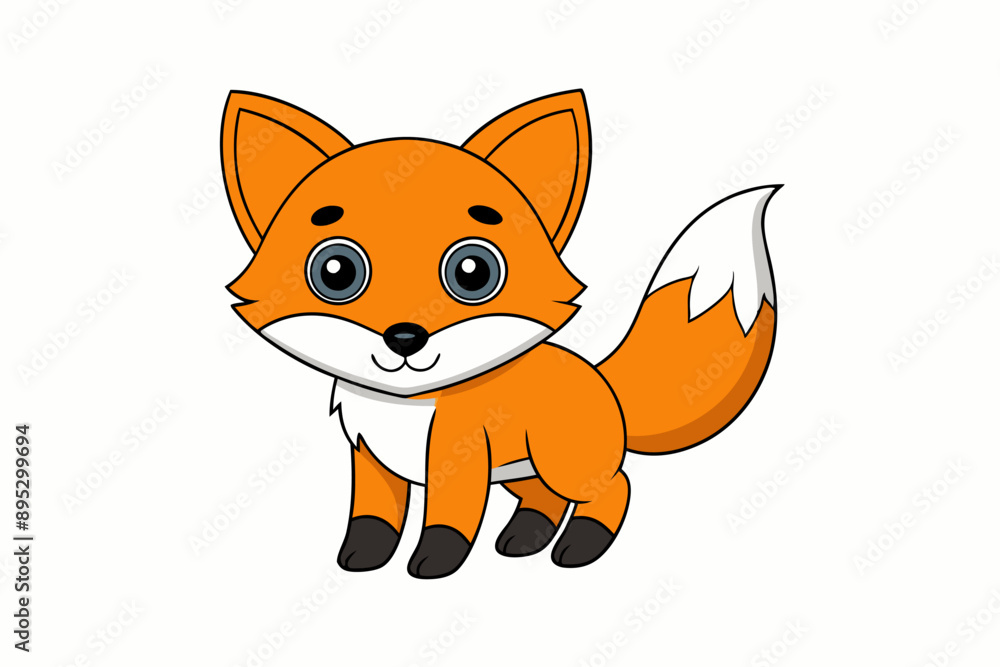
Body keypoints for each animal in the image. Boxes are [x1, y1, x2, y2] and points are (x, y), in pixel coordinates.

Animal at [220, 89, 779, 579]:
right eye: (335, 272)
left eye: (473, 272)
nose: (405, 337)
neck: (404, 407)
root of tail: (599, 377)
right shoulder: (370, 459)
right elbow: (372, 520)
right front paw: (362, 558)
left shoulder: (458, 462)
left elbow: (447, 524)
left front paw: (434, 563)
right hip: (520, 471)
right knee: (545, 501)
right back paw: (524, 539)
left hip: (560, 462)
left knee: (613, 487)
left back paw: (581, 546)